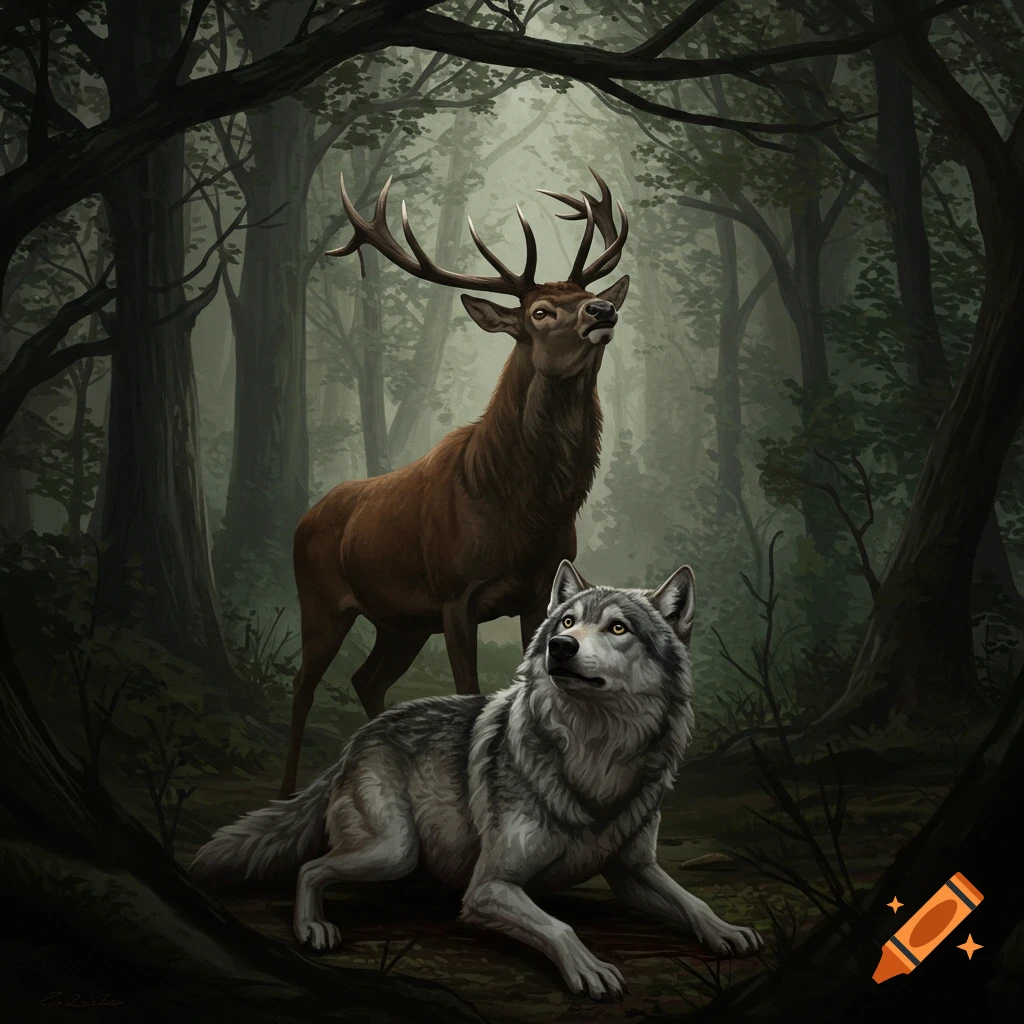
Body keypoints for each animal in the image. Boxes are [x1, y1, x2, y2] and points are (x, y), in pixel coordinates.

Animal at [190, 560, 762, 1000]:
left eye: (618, 628)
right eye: (568, 620)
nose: (559, 645)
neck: (595, 757)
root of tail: (359, 737)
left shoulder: (633, 870)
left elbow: (693, 902)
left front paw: (727, 932)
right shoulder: (488, 886)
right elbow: (560, 925)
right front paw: (591, 968)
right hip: (393, 848)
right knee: (311, 866)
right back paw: (313, 925)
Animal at [280, 167, 629, 797]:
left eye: (582, 298)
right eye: (541, 311)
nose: (600, 311)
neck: (519, 512)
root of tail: (305, 517)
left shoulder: (535, 593)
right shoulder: (454, 594)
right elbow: (469, 693)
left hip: (400, 621)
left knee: (367, 679)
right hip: (321, 601)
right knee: (303, 684)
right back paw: (287, 789)